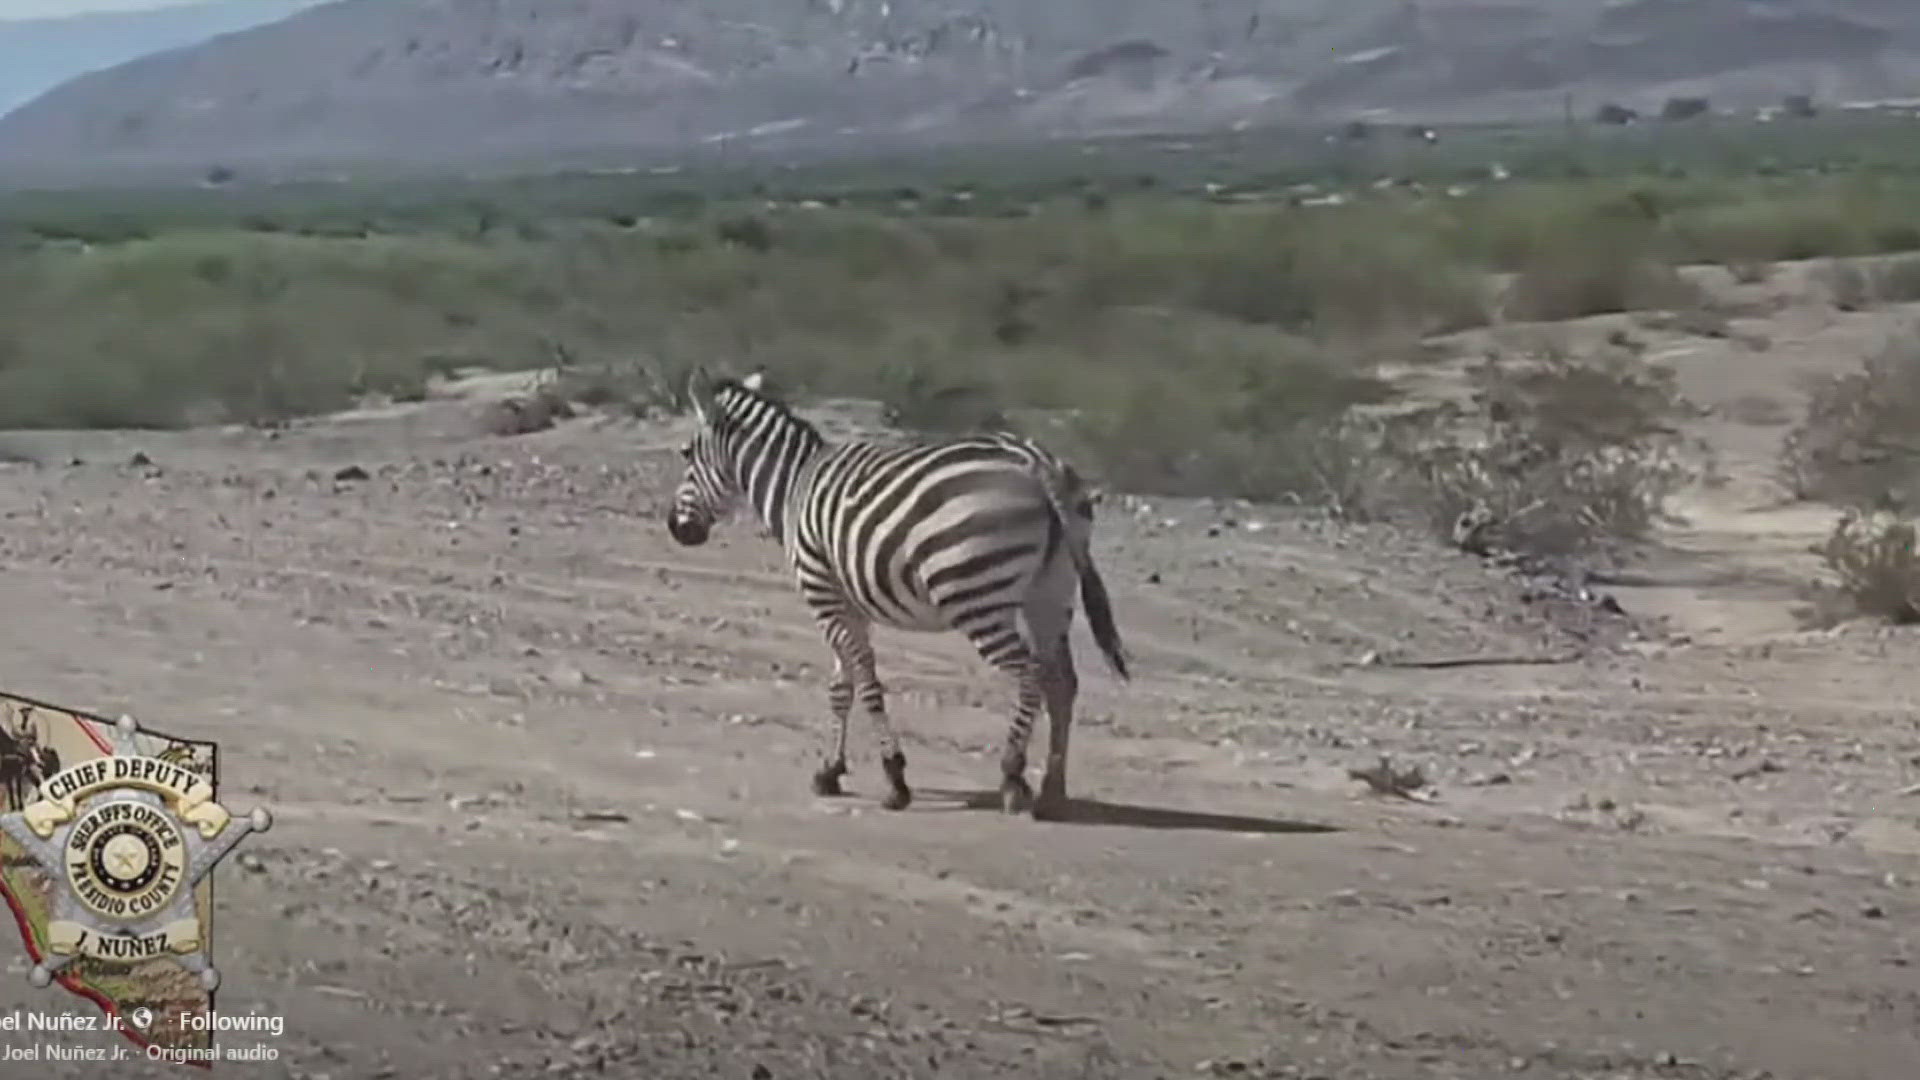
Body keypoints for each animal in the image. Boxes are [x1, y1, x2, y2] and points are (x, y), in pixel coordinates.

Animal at [665, 369, 1129, 819]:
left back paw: (1013, 779)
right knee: (1061, 683)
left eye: (686, 453)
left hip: (975, 599)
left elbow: (866, 681)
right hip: (1048, 595)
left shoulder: (822, 594)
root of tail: (1037, 463)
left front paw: (894, 778)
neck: (793, 486)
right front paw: (830, 770)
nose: (676, 529)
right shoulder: (846, 604)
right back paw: (1052, 792)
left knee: (1030, 675)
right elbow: (842, 686)